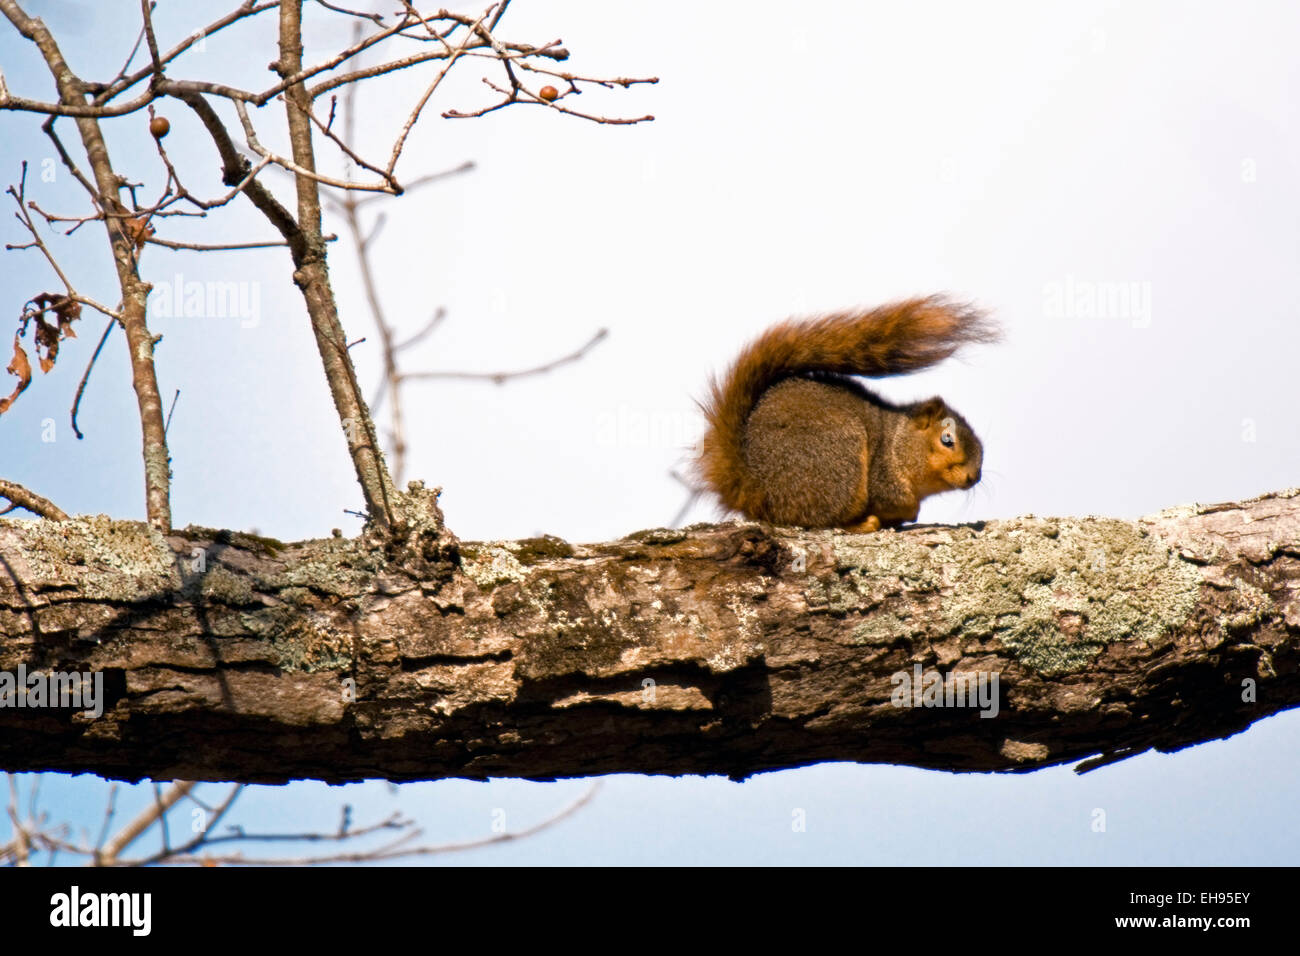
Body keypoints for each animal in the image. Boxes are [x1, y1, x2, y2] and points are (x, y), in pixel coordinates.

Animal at [696, 295, 999, 531]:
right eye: (947, 440)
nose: (973, 478)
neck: (898, 445)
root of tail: (755, 487)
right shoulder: (884, 478)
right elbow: (893, 499)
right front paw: (907, 512)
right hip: (840, 463)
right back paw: (863, 524)